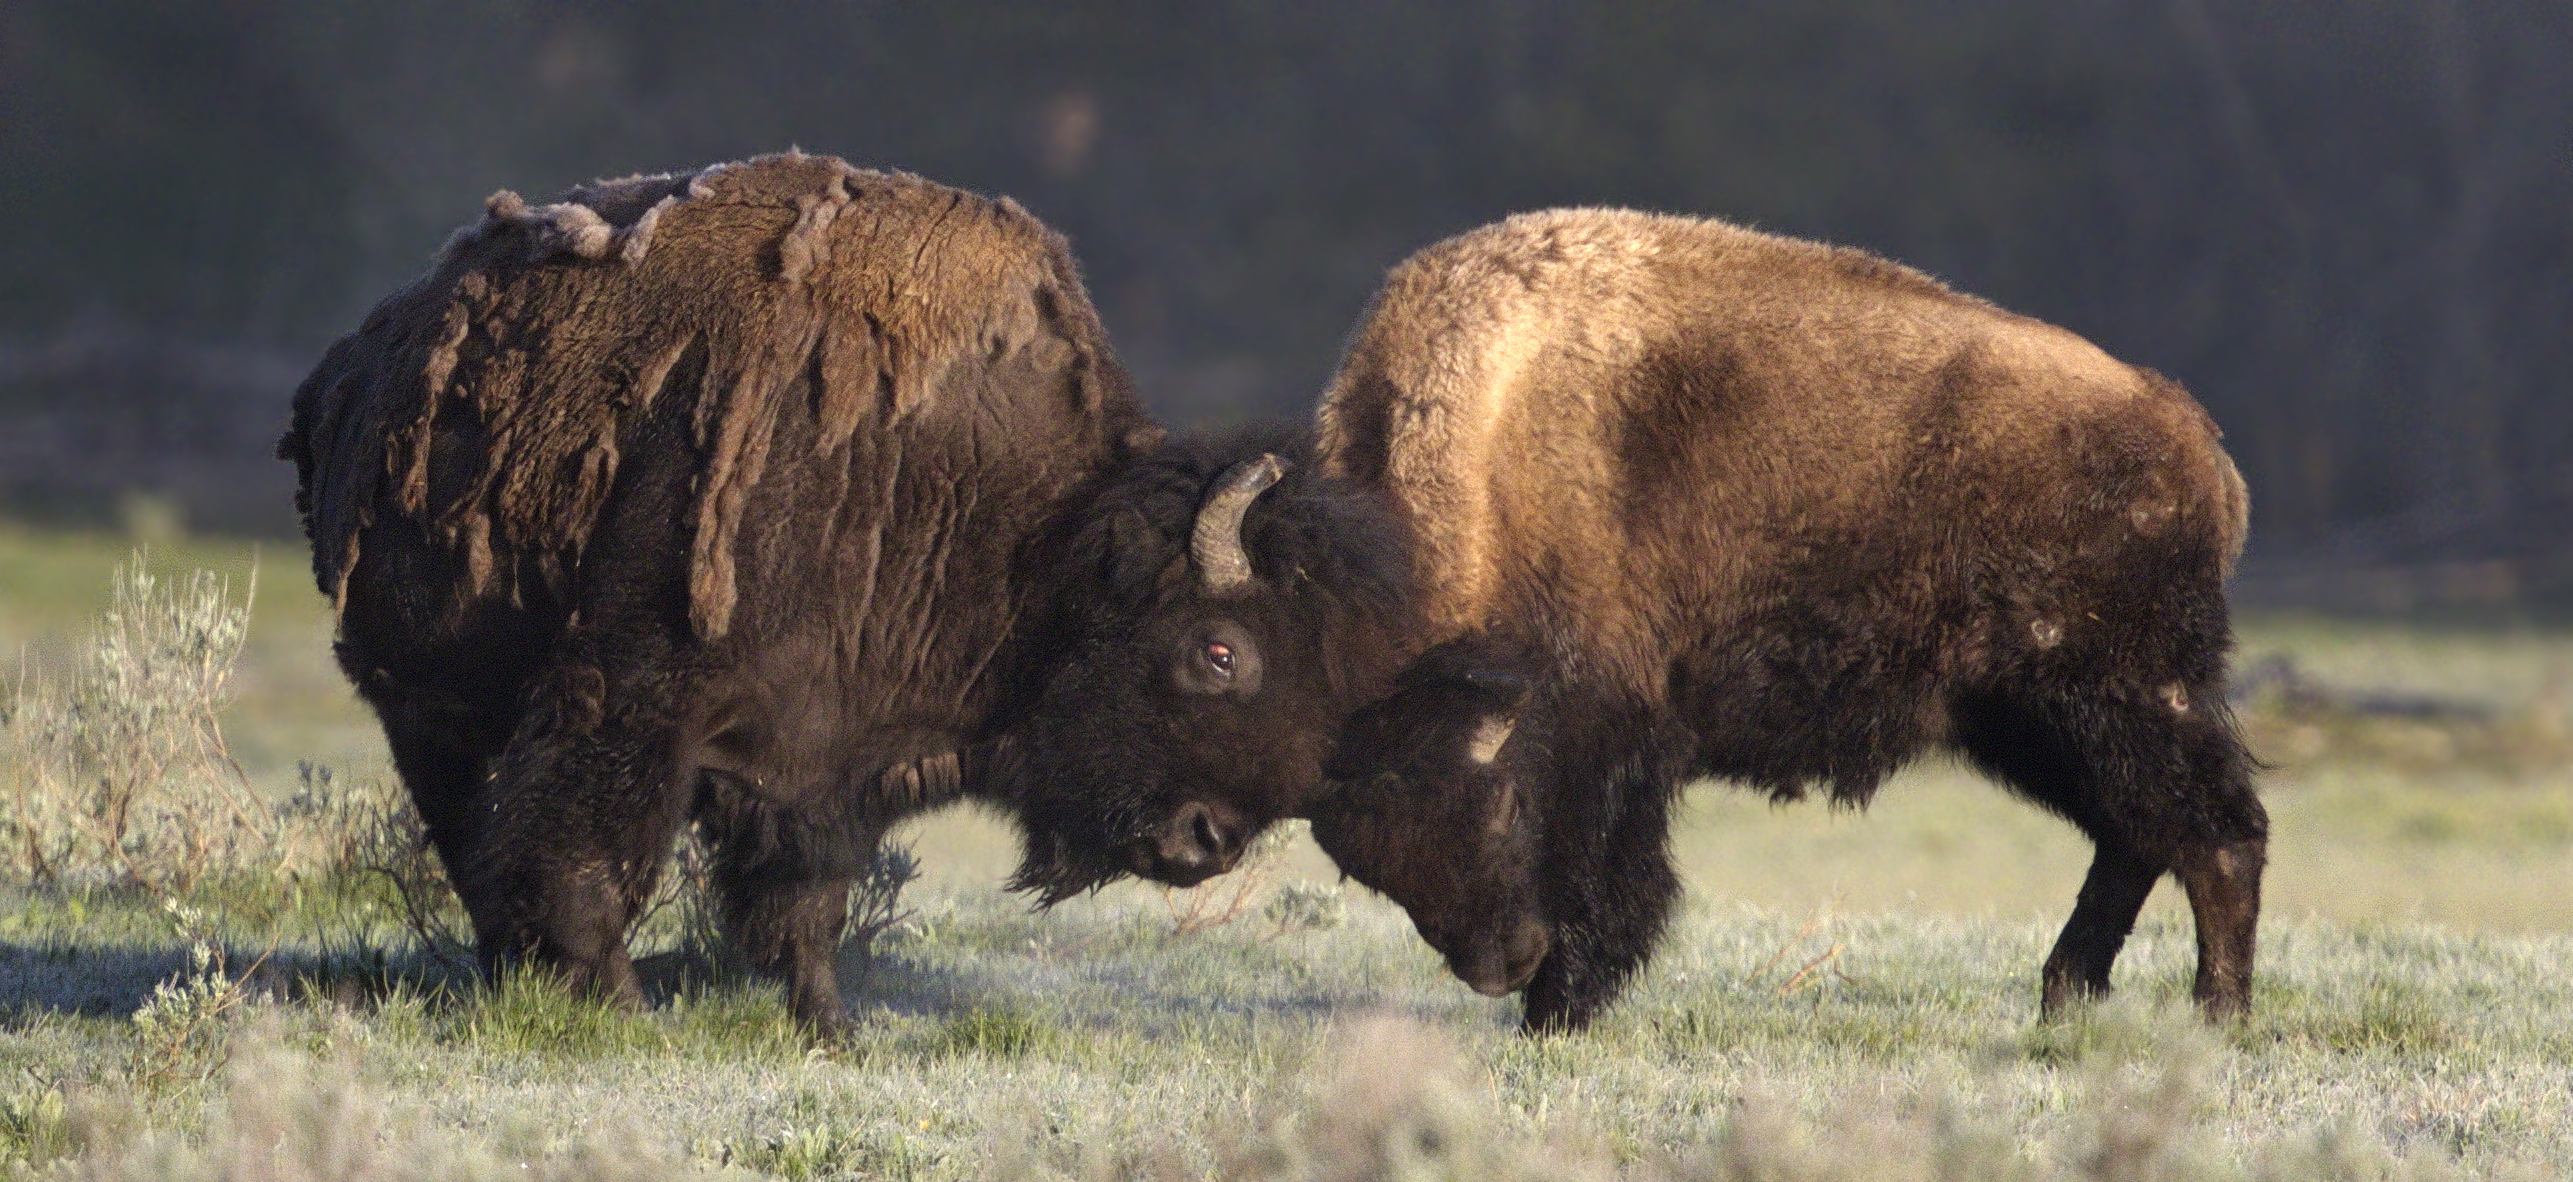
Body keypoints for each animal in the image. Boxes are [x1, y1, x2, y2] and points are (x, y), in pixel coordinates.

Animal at [1011, 208, 2267, 1033]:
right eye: (1362, 857)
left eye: (1217, 650)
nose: (1178, 838)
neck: (1478, 484)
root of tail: (2196, 446)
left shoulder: (1607, 740)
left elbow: (1608, 873)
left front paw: (1562, 1010)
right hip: (2020, 718)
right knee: (2136, 833)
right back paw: (2064, 1001)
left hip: (2109, 696)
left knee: (2212, 829)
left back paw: (2211, 1016)